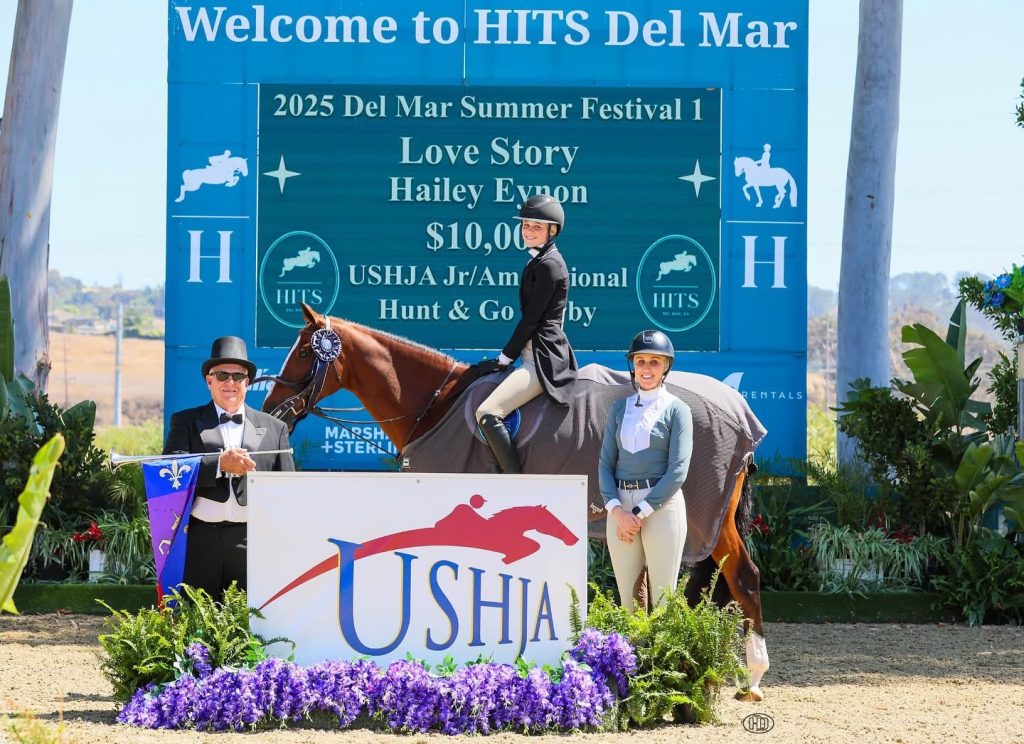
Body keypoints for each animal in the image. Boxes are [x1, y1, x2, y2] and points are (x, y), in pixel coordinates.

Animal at [260, 303, 771, 700]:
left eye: (304, 352)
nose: (271, 409)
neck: (436, 406)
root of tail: (740, 410)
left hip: (703, 514)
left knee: (742, 577)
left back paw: (753, 678)